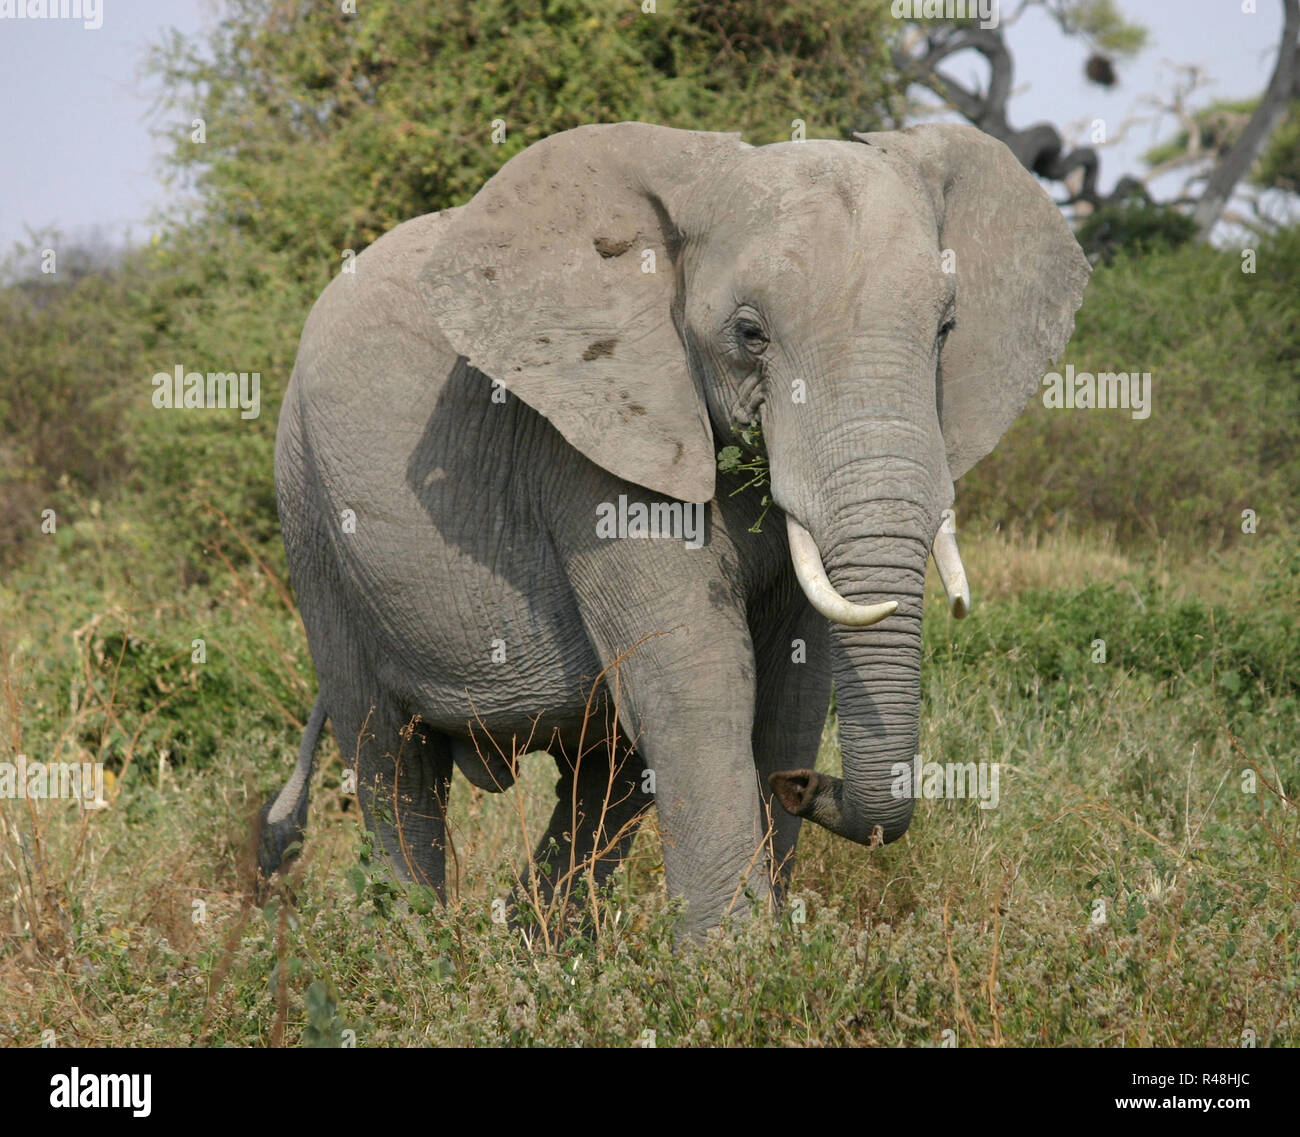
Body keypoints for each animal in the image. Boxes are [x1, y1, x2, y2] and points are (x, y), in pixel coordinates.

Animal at [258, 121, 1089, 937]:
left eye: (946, 328)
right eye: (750, 333)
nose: (805, 786)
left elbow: (790, 694)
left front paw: (775, 940)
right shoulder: (595, 440)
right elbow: (699, 679)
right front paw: (735, 963)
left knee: (606, 774)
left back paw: (539, 942)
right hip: (309, 507)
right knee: (386, 752)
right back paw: (421, 945)